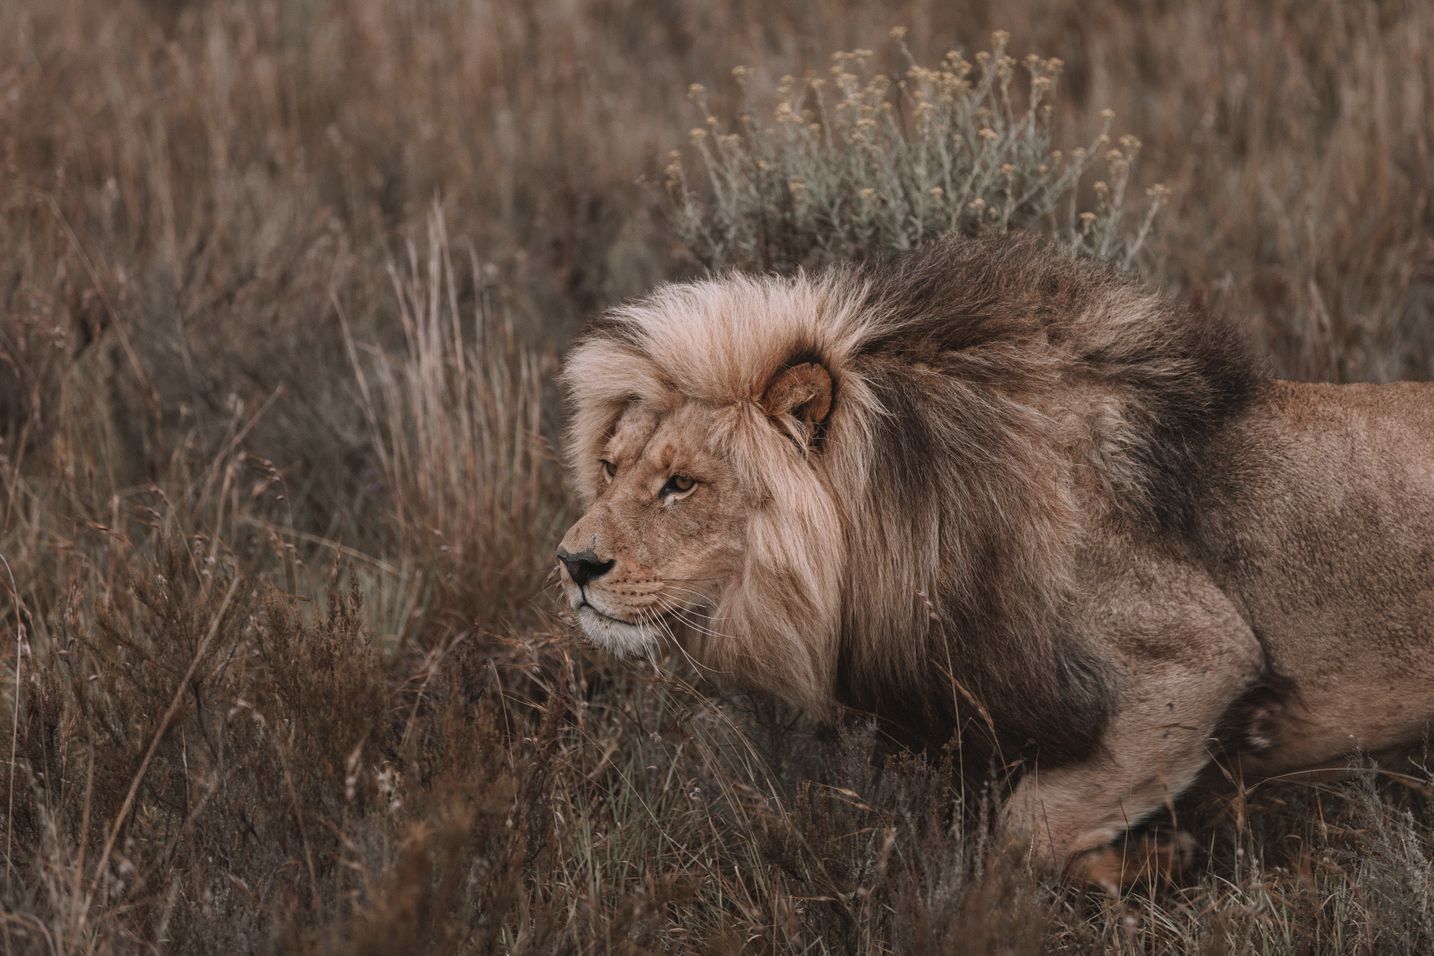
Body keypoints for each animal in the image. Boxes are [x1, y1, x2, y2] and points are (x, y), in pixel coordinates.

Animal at [555, 232, 1434, 888]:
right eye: (610, 467)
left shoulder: (1198, 663)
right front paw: (1152, 860)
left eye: (681, 484)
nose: (572, 564)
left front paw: (1158, 861)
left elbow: (1026, 830)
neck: (904, 515)